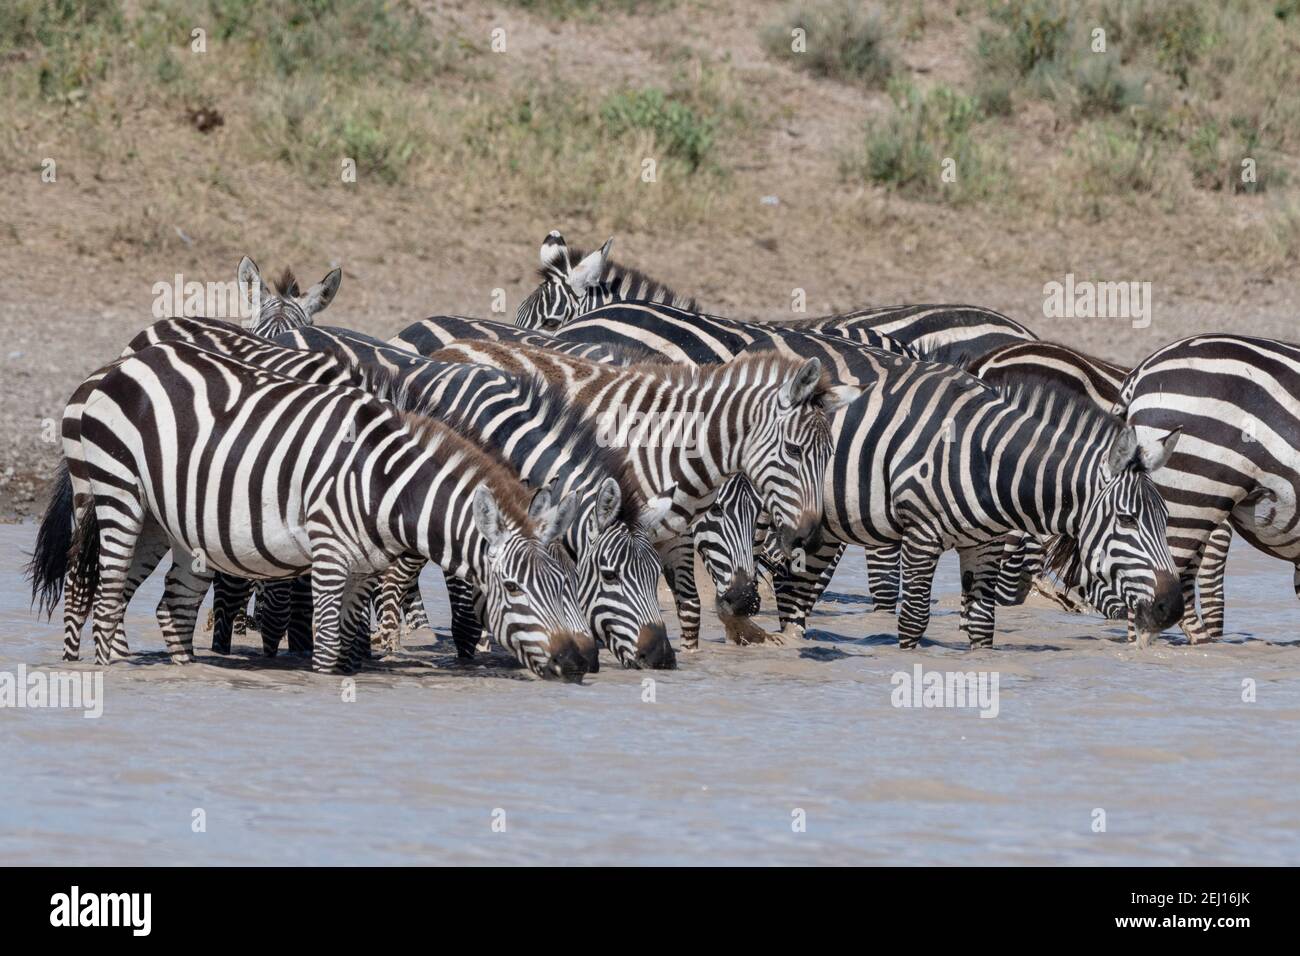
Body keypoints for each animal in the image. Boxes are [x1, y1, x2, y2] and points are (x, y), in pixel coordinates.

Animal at [30, 339, 594, 677]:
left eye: (570, 585)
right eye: (514, 589)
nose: (581, 659)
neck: (385, 482)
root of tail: (118, 365)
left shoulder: (365, 567)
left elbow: (349, 643)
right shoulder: (328, 556)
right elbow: (325, 644)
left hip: (164, 519)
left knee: (167, 603)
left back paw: (181, 669)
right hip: (116, 493)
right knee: (101, 593)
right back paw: (107, 670)